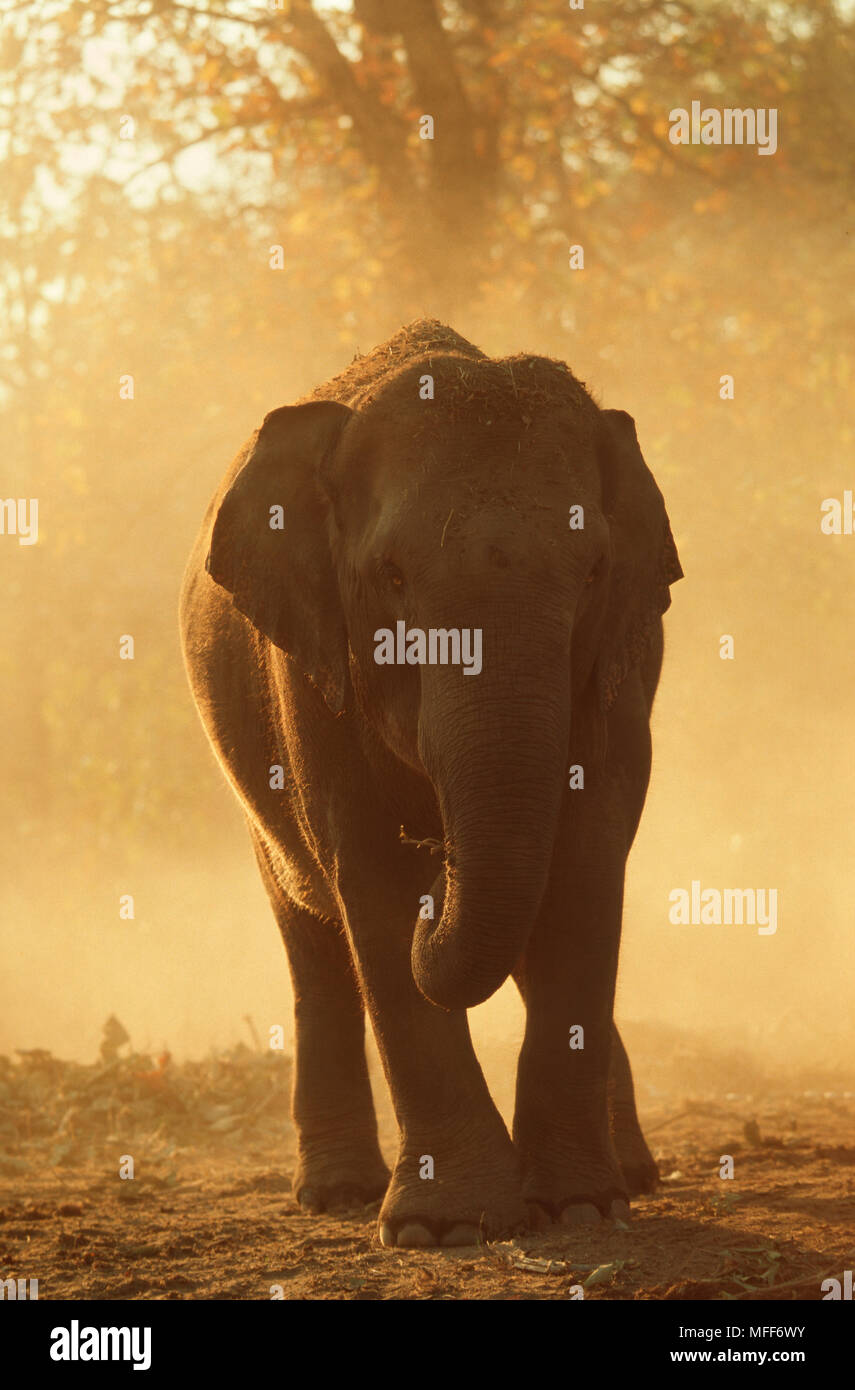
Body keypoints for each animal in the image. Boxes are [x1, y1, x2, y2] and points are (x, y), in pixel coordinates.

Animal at [180, 318, 683, 1248]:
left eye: (593, 573)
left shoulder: (617, 673)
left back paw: (632, 1174)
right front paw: (443, 1230)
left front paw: (582, 1208)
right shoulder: (313, 673)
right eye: (391, 577)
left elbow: (584, 877)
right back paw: (337, 1193)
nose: (438, 856)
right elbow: (372, 887)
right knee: (313, 941)